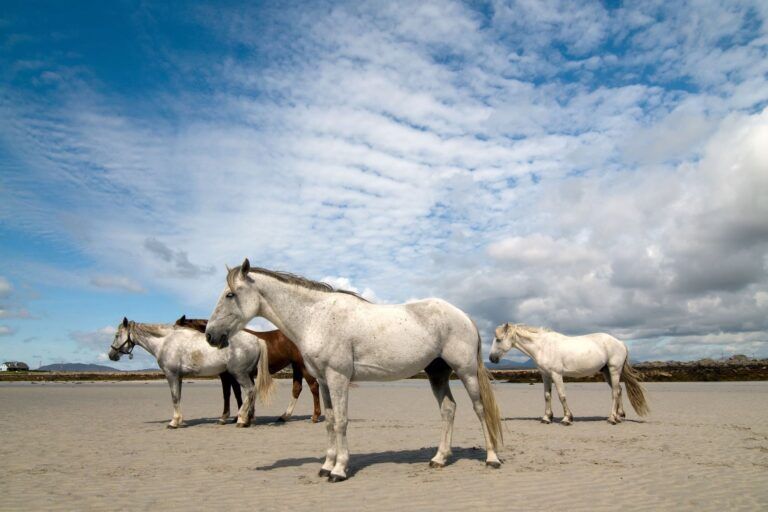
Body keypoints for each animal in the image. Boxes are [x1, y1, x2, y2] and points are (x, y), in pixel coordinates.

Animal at [108, 317, 274, 428]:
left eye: (116, 335)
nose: (111, 355)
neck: (166, 342)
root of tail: (256, 339)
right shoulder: (179, 377)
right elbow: (178, 397)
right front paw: (179, 421)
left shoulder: (171, 375)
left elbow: (174, 398)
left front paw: (173, 422)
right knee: (251, 393)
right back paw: (247, 419)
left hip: (239, 374)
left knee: (250, 391)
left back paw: (241, 419)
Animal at [175, 315, 322, 423]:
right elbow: (239, 393)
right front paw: (246, 415)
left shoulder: (227, 376)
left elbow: (228, 394)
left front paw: (228, 416)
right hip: (297, 366)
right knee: (297, 388)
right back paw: (285, 416)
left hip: (302, 366)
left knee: (313, 387)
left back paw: (315, 416)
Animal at [204, 258, 503, 482]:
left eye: (230, 294)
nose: (210, 335)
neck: (316, 317)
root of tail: (464, 316)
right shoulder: (324, 382)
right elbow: (328, 421)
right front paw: (326, 466)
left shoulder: (338, 378)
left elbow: (341, 422)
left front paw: (338, 470)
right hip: (437, 373)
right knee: (448, 410)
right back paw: (439, 459)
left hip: (465, 371)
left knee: (479, 409)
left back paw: (491, 459)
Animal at [489, 323, 649, 425]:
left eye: (498, 339)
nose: (491, 359)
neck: (543, 346)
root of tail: (621, 343)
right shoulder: (545, 375)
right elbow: (547, 396)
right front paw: (546, 418)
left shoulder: (556, 374)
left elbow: (561, 395)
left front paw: (567, 418)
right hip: (607, 372)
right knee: (619, 390)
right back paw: (619, 416)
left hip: (614, 370)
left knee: (615, 392)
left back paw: (612, 418)